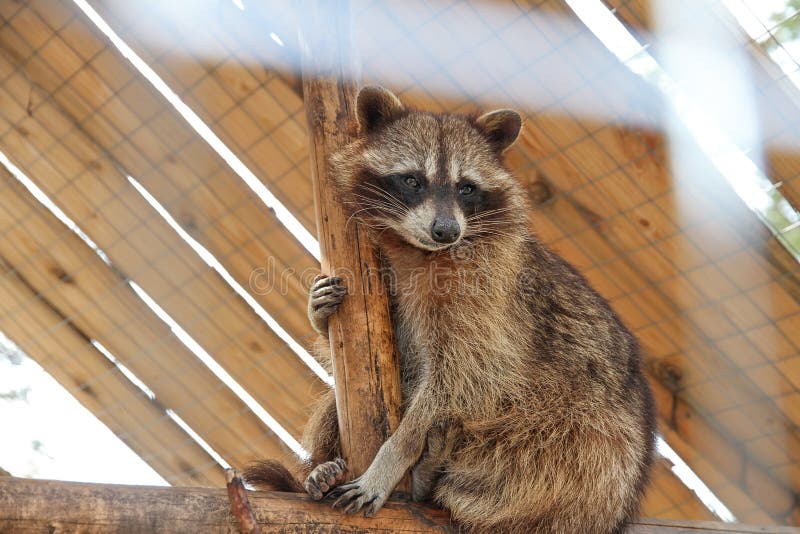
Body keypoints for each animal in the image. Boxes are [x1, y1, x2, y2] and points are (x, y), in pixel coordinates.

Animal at [245, 86, 656, 533]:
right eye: (412, 180)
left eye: (466, 188)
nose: (446, 230)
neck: (419, 250)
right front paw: (319, 316)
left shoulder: (488, 297)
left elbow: (466, 377)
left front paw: (394, 456)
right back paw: (324, 468)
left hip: (586, 460)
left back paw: (426, 477)